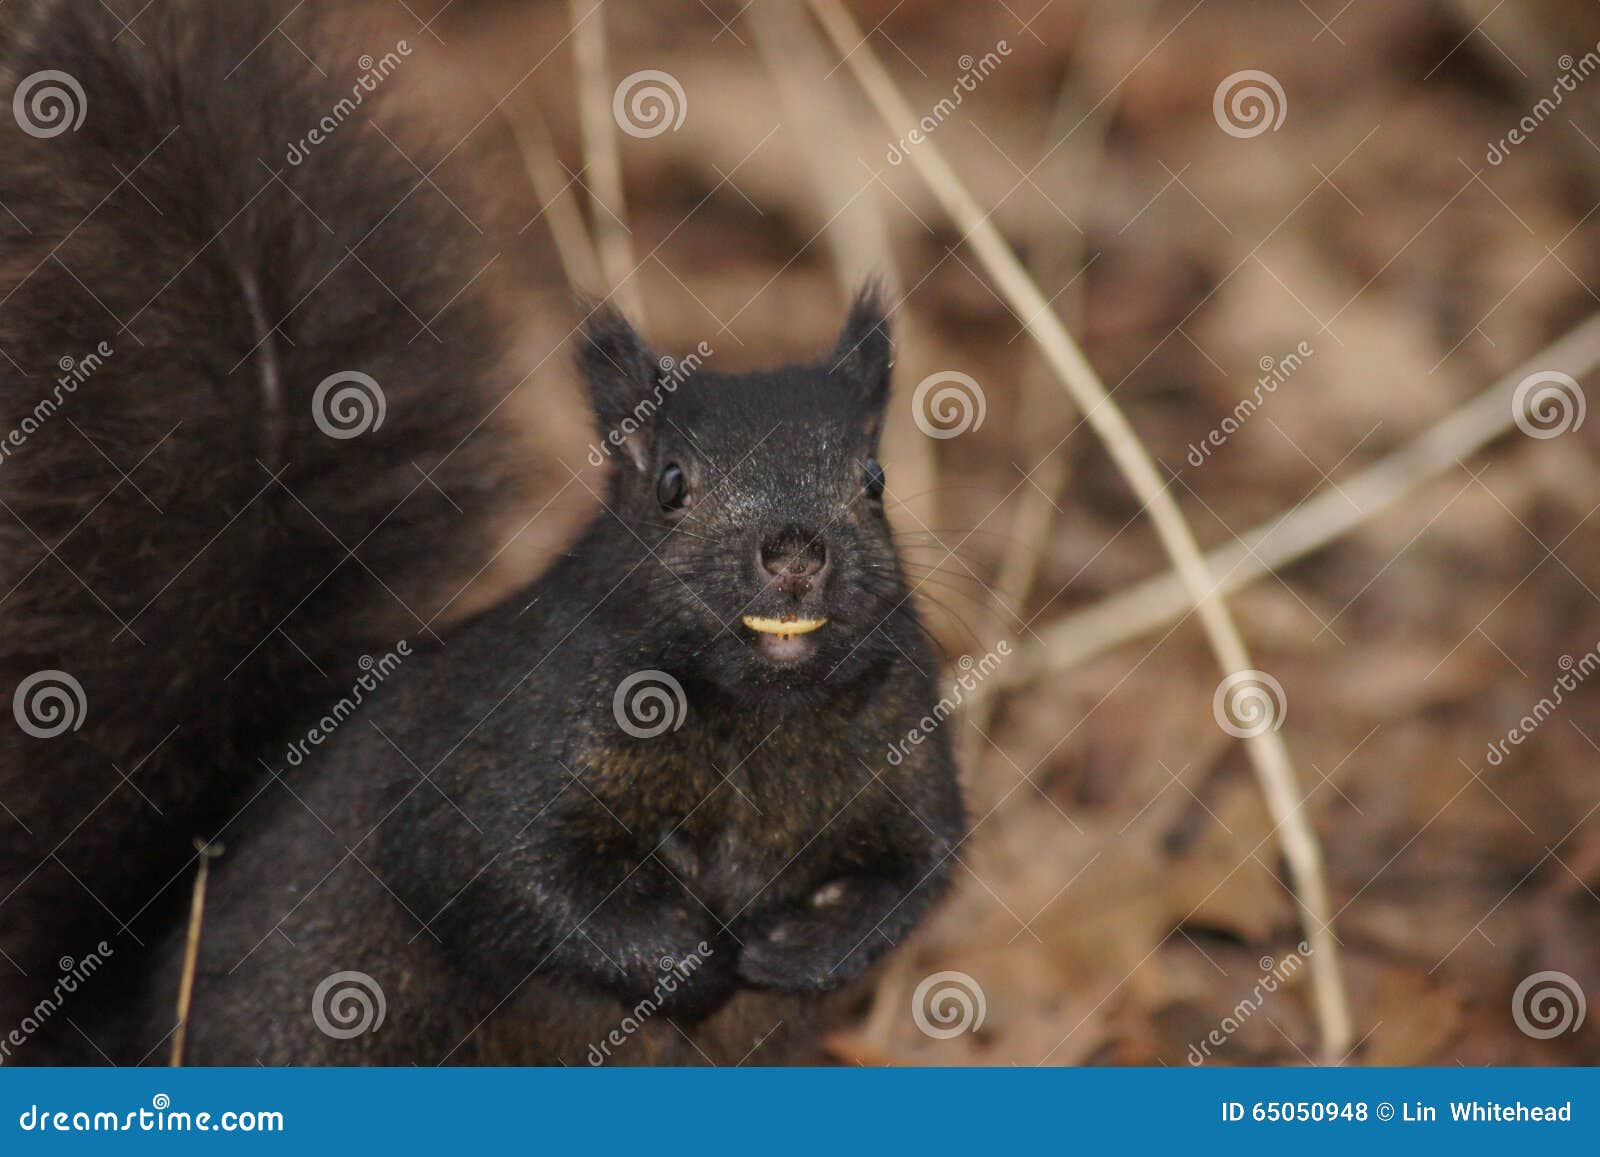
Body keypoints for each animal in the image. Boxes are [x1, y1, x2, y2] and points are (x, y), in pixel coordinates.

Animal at [1, 2, 963, 1065]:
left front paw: (800, 947)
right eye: (671, 485)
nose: (794, 552)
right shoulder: (510, 745)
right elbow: (485, 867)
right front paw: (686, 959)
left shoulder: (906, 731)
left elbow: (921, 865)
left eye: (874, 482)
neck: (761, 715)